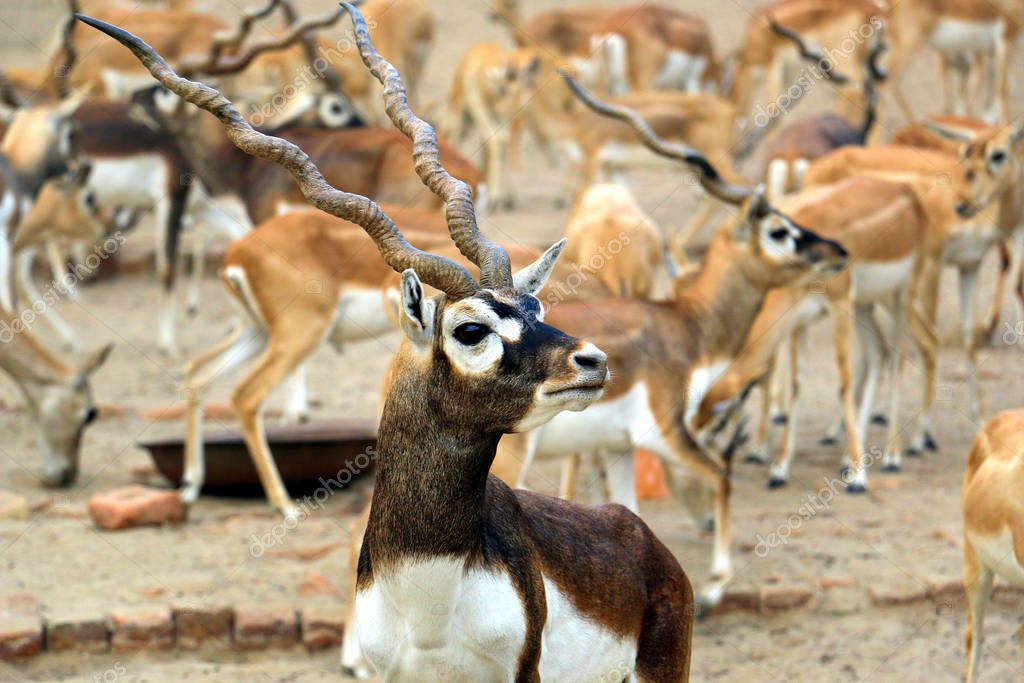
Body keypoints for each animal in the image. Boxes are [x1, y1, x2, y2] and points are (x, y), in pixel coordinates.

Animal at [514, 75, 847, 612]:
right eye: (779, 230)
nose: (837, 250)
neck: (688, 325)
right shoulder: (665, 432)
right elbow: (720, 476)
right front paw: (714, 585)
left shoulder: (618, 447)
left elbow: (628, 511)